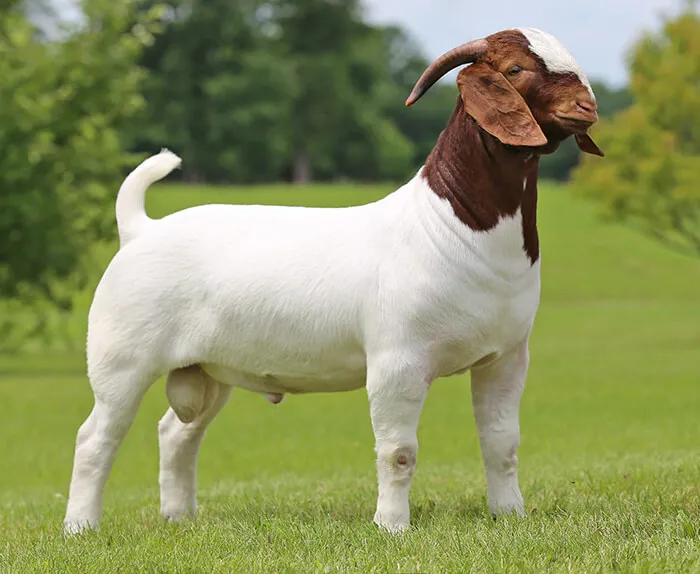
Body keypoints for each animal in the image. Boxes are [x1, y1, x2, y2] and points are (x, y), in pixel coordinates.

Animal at [63, 27, 603, 534]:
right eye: (515, 69)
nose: (588, 107)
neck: (449, 225)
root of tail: (140, 229)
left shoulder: (505, 358)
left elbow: (501, 443)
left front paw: (509, 516)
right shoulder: (396, 362)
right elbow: (398, 451)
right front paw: (392, 526)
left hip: (209, 370)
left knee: (176, 434)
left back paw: (180, 519)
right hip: (121, 360)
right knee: (96, 438)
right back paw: (80, 526)